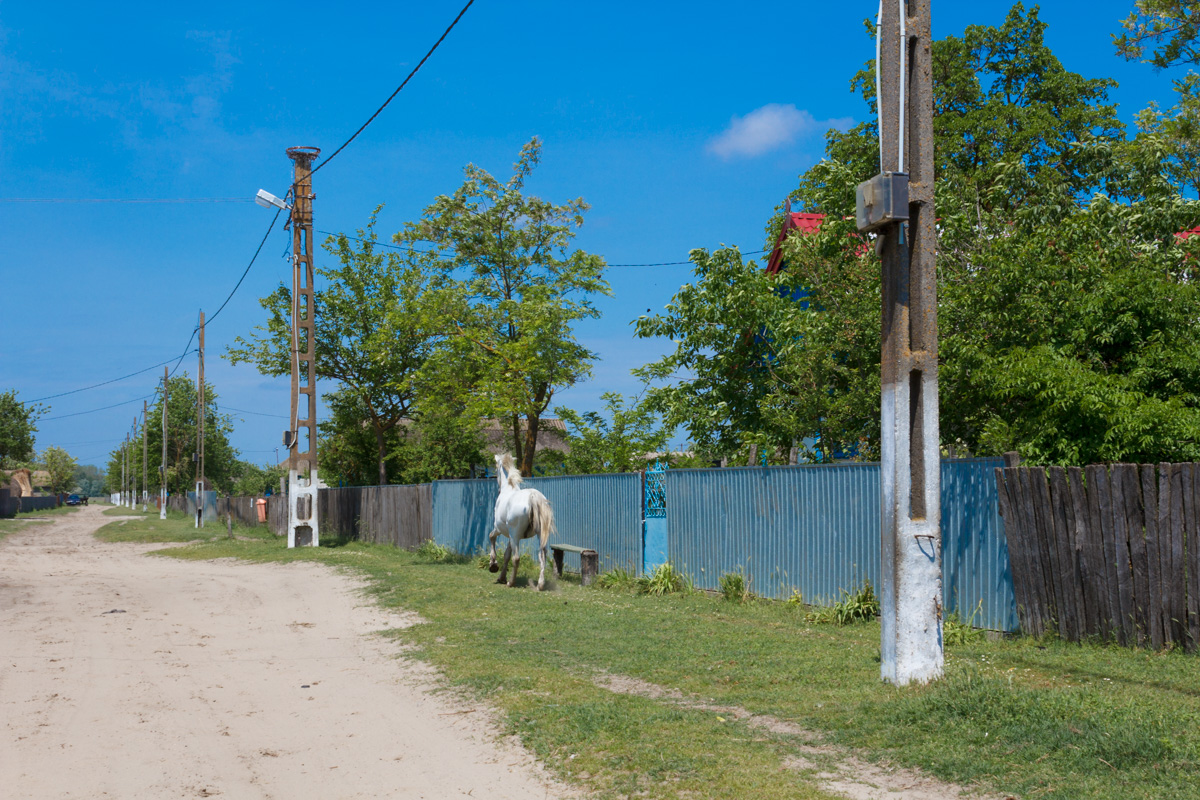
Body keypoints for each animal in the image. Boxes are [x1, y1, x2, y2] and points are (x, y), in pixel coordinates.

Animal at [487, 453, 556, 590]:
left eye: (496, 468)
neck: (508, 489)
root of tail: (533, 497)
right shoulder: (510, 536)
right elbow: (506, 555)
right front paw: (501, 577)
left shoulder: (499, 529)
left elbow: (492, 537)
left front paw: (493, 565)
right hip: (538, 535)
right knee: (542, 555)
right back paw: (540, 584)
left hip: (515, 535)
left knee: (517, 558)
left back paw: (511, 582)